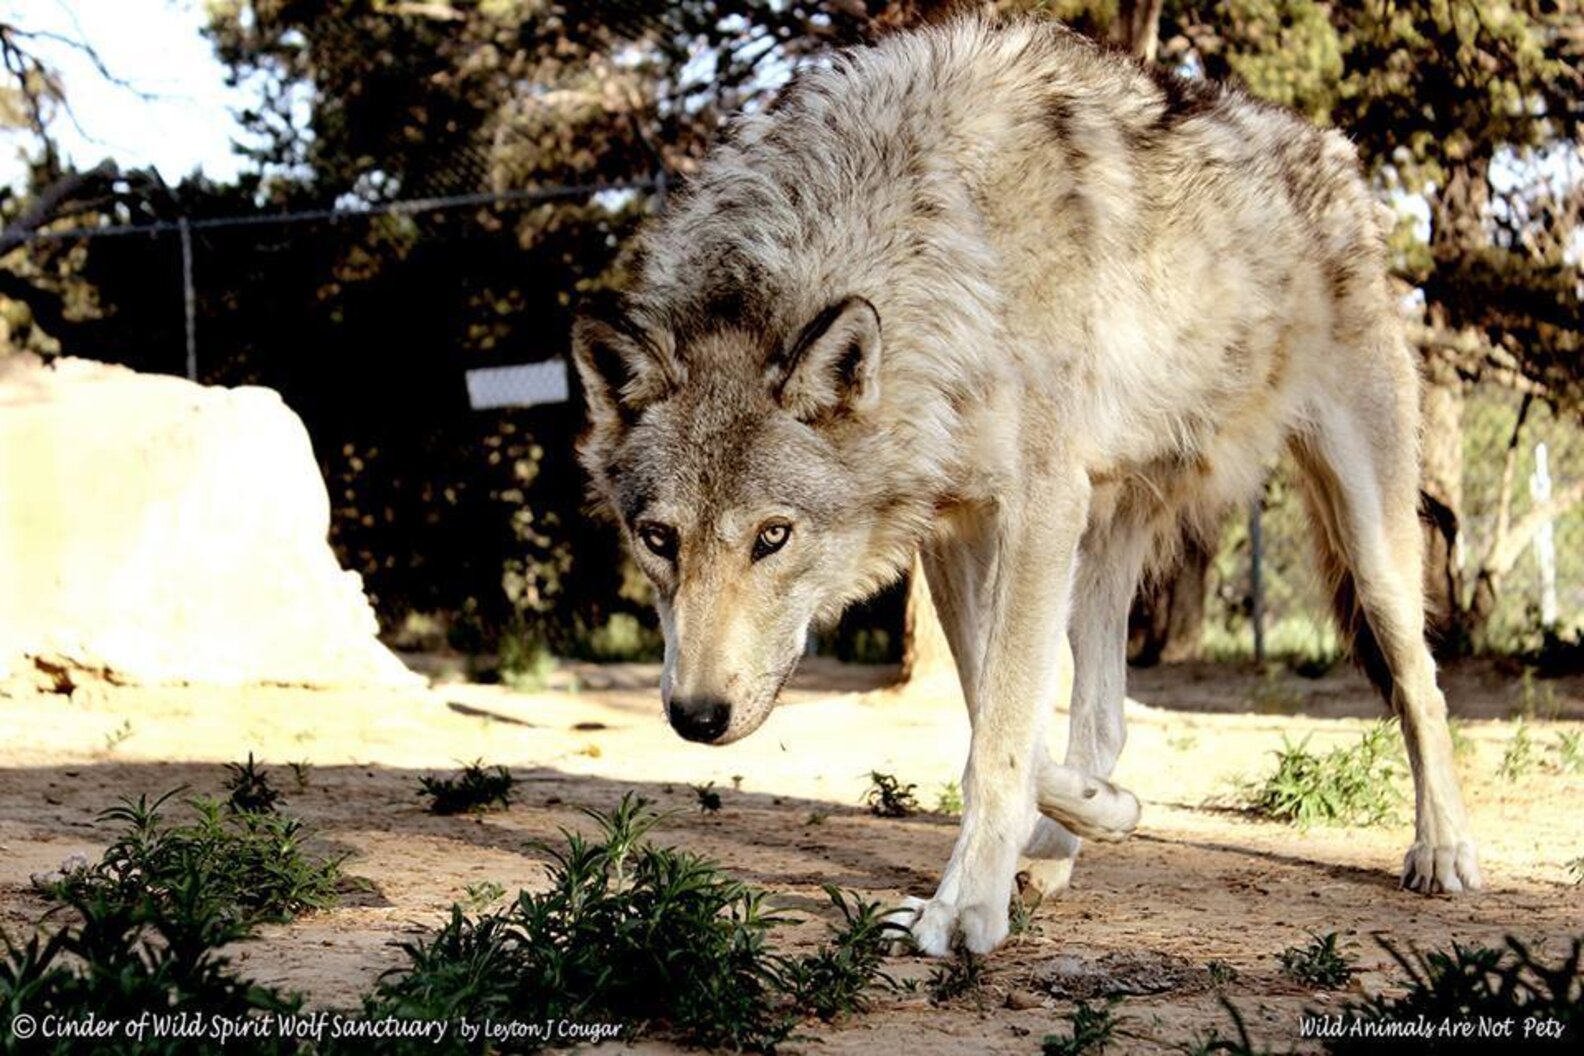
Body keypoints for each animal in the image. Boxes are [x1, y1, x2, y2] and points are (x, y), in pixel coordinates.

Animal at [571, 16, 1481, 956]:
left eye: (773, 536)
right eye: (658, 539)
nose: (695, 717)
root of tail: (1335, 153)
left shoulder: (1038, 507)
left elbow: (1000, 737)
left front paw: (962, 908)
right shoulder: (957, 528)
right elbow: (993, 710)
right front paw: (1097, 817)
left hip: (1367, 548)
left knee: (1423, 685)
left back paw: (1443, 850)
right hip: (1103, 542)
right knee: (1107, 716)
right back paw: (1056, 849)